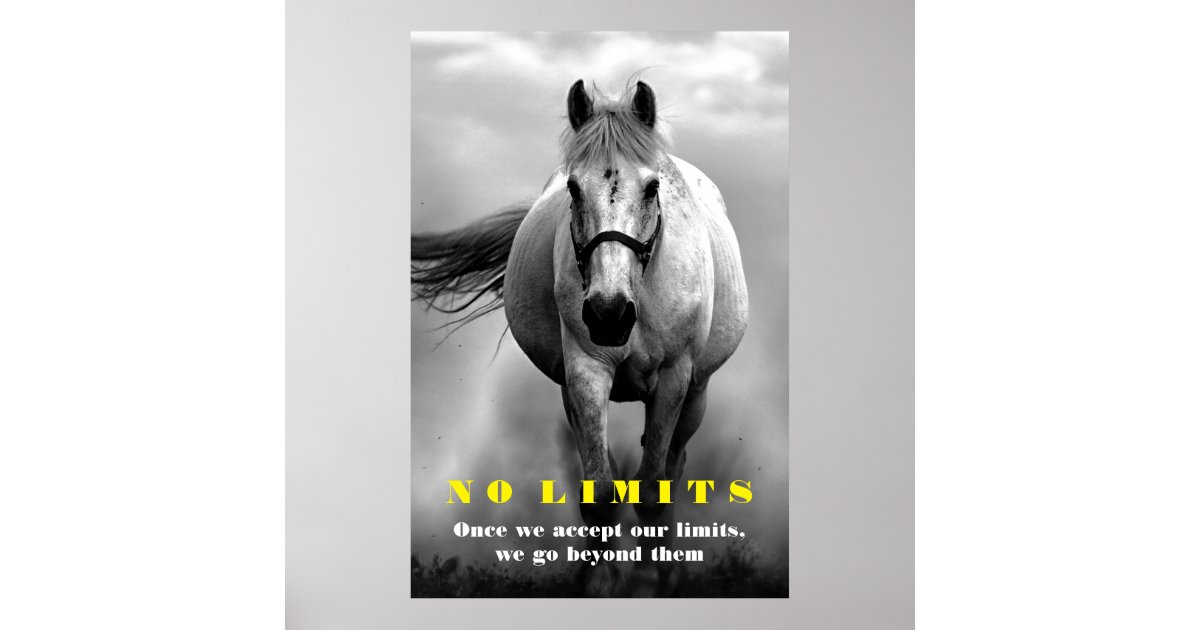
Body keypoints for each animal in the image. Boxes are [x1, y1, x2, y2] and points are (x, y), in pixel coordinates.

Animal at [412, 79, 749, 596]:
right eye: (573, 188)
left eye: (652, 187)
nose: (609, 313)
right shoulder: (585, 373)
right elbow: (600, 493)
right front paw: (598, 583)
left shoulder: (674, 379)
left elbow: (652, 492)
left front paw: (649, 580)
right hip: (571, 393)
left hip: (696, 395)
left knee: (673, 467)